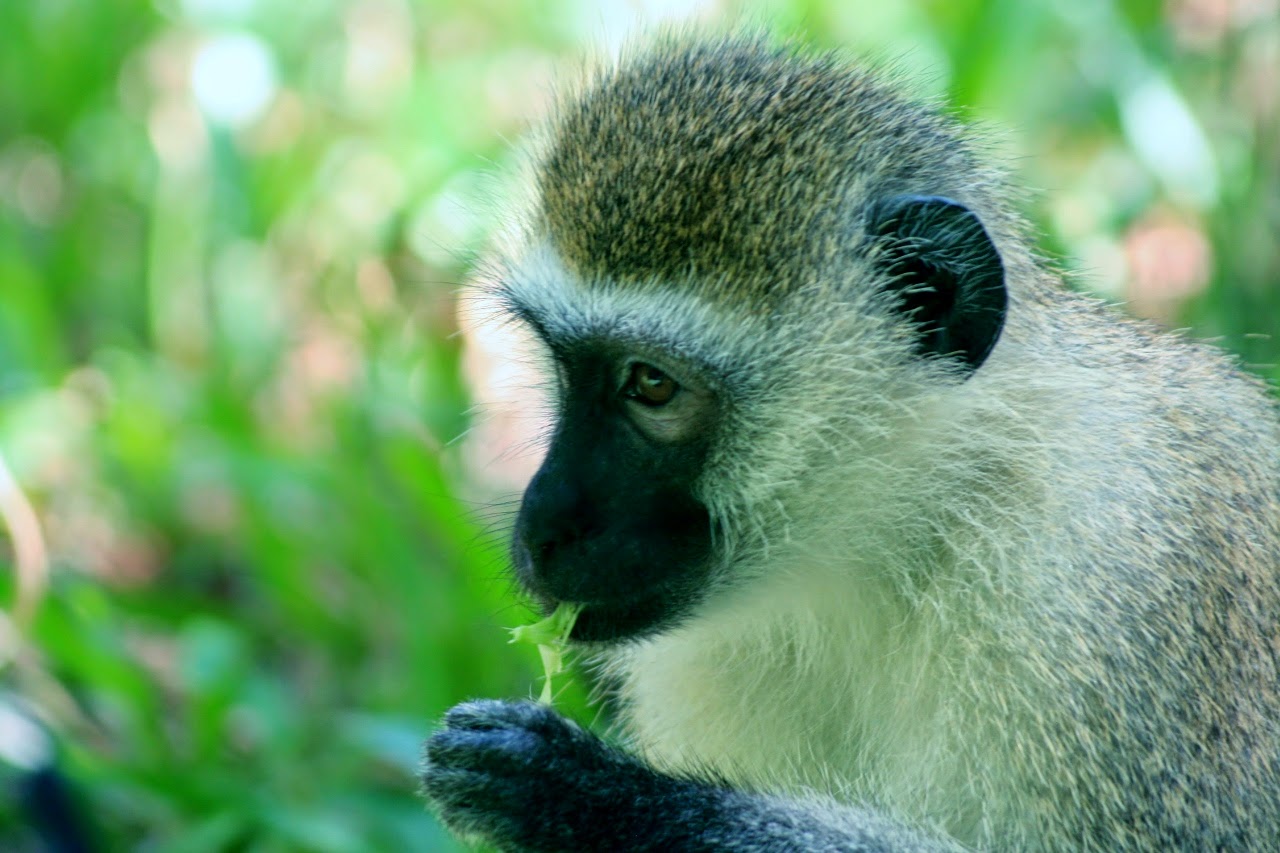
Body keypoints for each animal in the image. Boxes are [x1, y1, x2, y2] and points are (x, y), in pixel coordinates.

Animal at [421, 31, 1280, 851]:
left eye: (651, 385)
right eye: (562, 362)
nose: (542, 525)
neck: (912, 527)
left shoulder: (1102, 584)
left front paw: (585, 793)